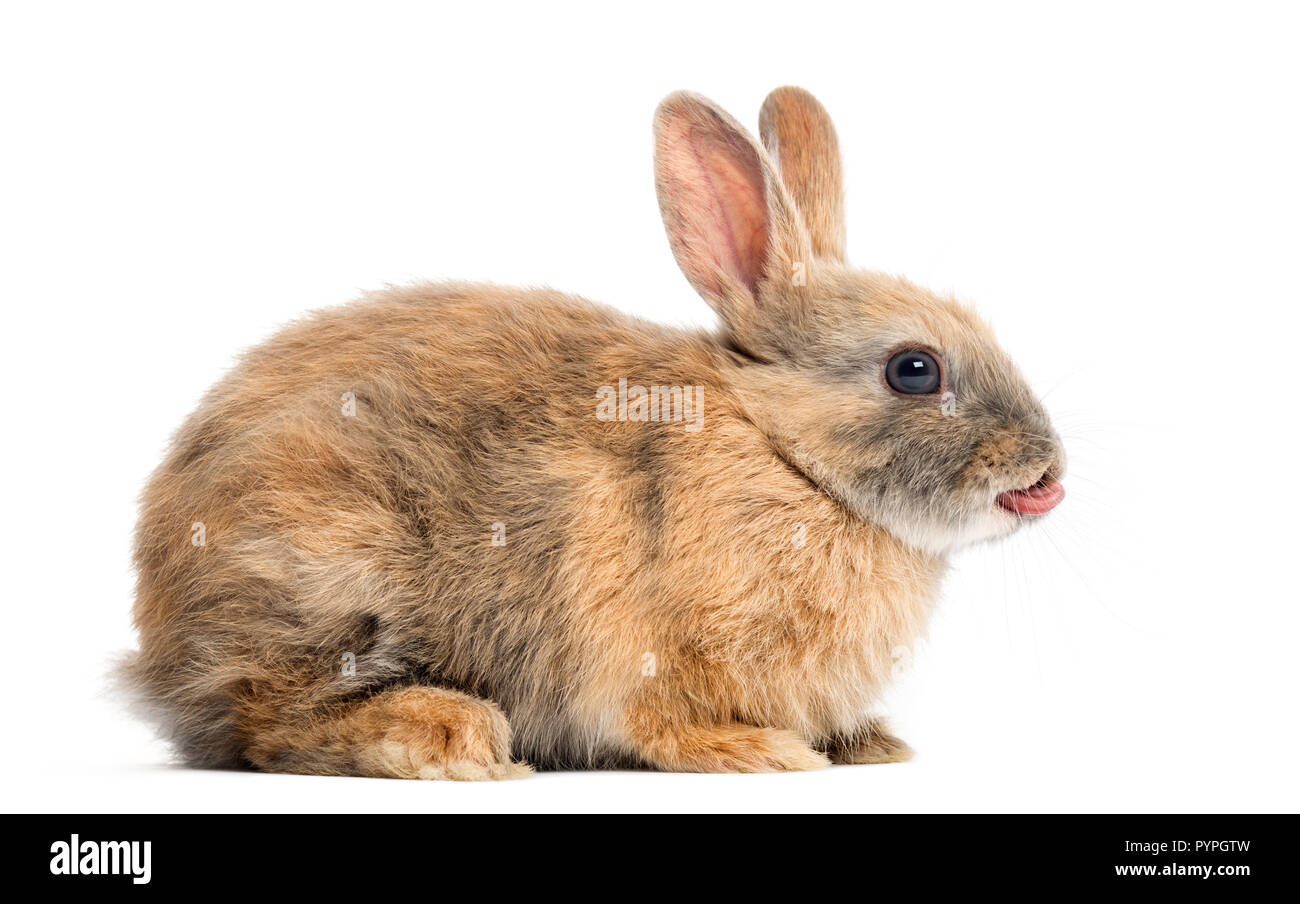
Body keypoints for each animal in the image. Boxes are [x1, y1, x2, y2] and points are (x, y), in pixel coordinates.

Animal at [122, 86, 1065, 779]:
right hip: (327, 571)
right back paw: (452, 737)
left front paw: (871, 744)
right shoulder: (642, 649)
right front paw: (763, 752)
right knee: (269, 722)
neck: (786, 457)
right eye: (915, 370)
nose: (1049, 471)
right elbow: (657, 719)